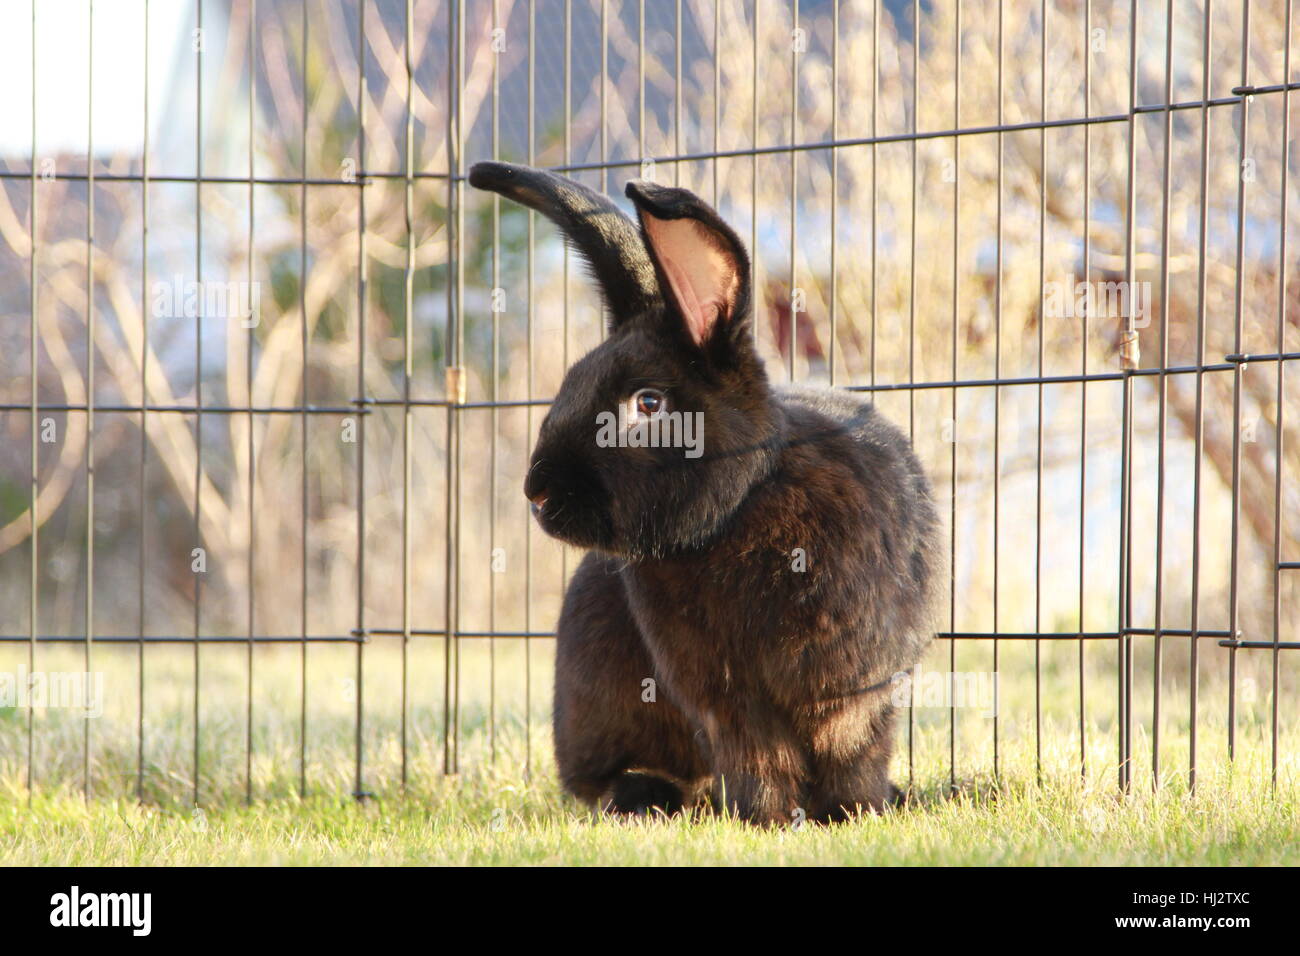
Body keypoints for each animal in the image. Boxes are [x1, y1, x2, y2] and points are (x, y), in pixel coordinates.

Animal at [469, 160, 942, 825]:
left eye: (648, 404)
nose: (537, 493)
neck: (743, 504)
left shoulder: (858, 690)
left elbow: (853, 755)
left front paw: (856, 813)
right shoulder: (724, 697)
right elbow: (757, 756)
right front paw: (767, 819)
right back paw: (645, 798)